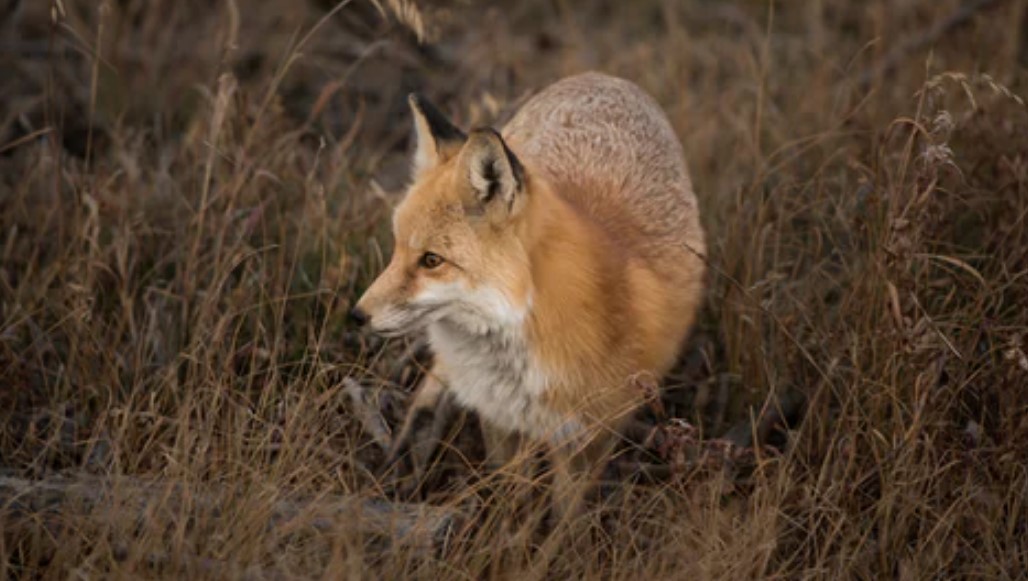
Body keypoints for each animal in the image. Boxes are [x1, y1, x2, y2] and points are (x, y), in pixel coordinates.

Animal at [352, 72, 706, 514]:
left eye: (431, 260)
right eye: (397, 248)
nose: (356, 315)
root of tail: (604, 78)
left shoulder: (592, 433)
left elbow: (565, 519)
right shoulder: (499, 415)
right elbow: (510, 494)